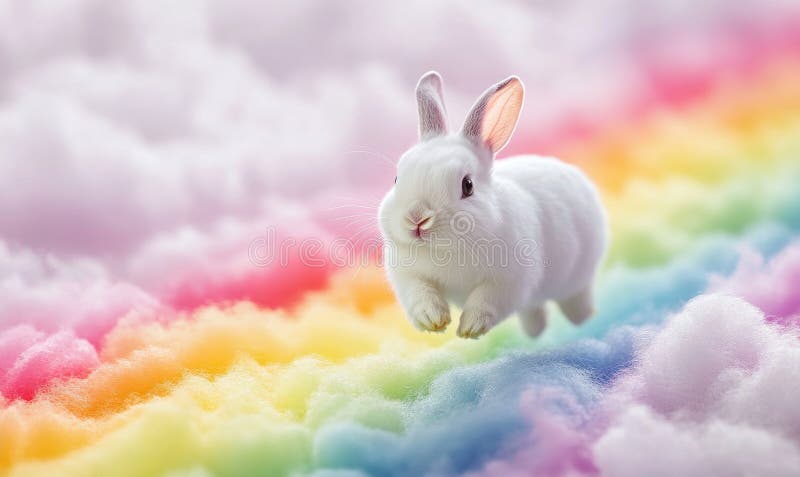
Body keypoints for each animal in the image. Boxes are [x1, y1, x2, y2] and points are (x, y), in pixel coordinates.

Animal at [378, 71, 608, 339]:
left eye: (467, 185)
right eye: (397, 178)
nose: (416, 218)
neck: (446, 251)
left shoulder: (509, 281)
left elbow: (485, 301)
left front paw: (470, 329)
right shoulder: (407, 275)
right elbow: (421, 294)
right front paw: (433, 321)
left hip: (580, 276)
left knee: (576, 299)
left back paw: (584, 320)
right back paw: (534, 332)